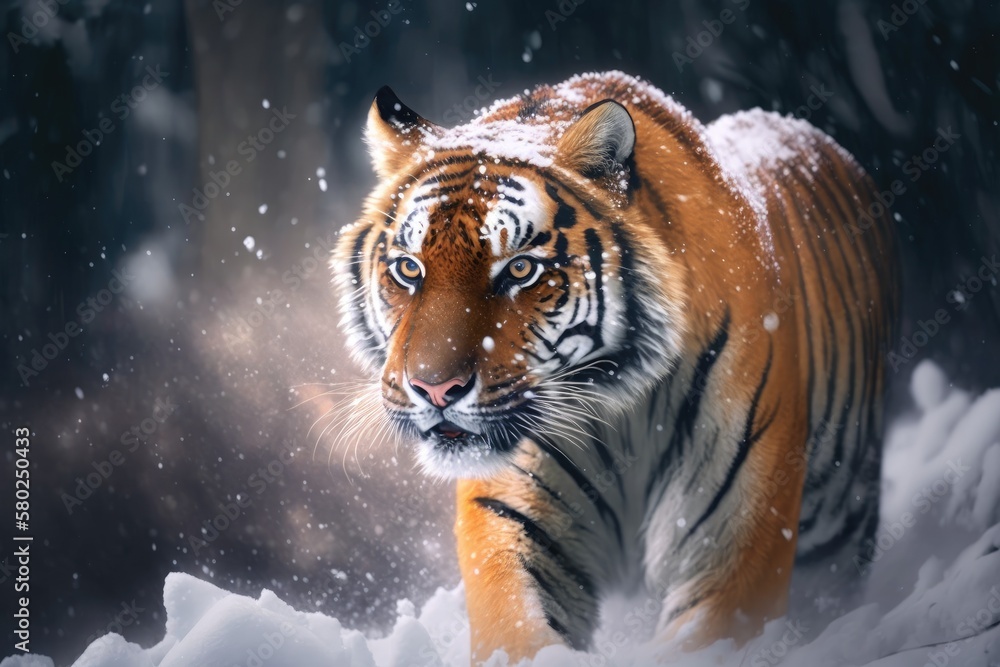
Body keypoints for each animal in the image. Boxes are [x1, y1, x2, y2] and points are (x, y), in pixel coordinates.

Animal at [332, 71, 898, 663]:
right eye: (408, 268)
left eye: (520, 269)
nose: (435, 389)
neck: (622, 407)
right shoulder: (507, 514)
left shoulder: (736, 537)